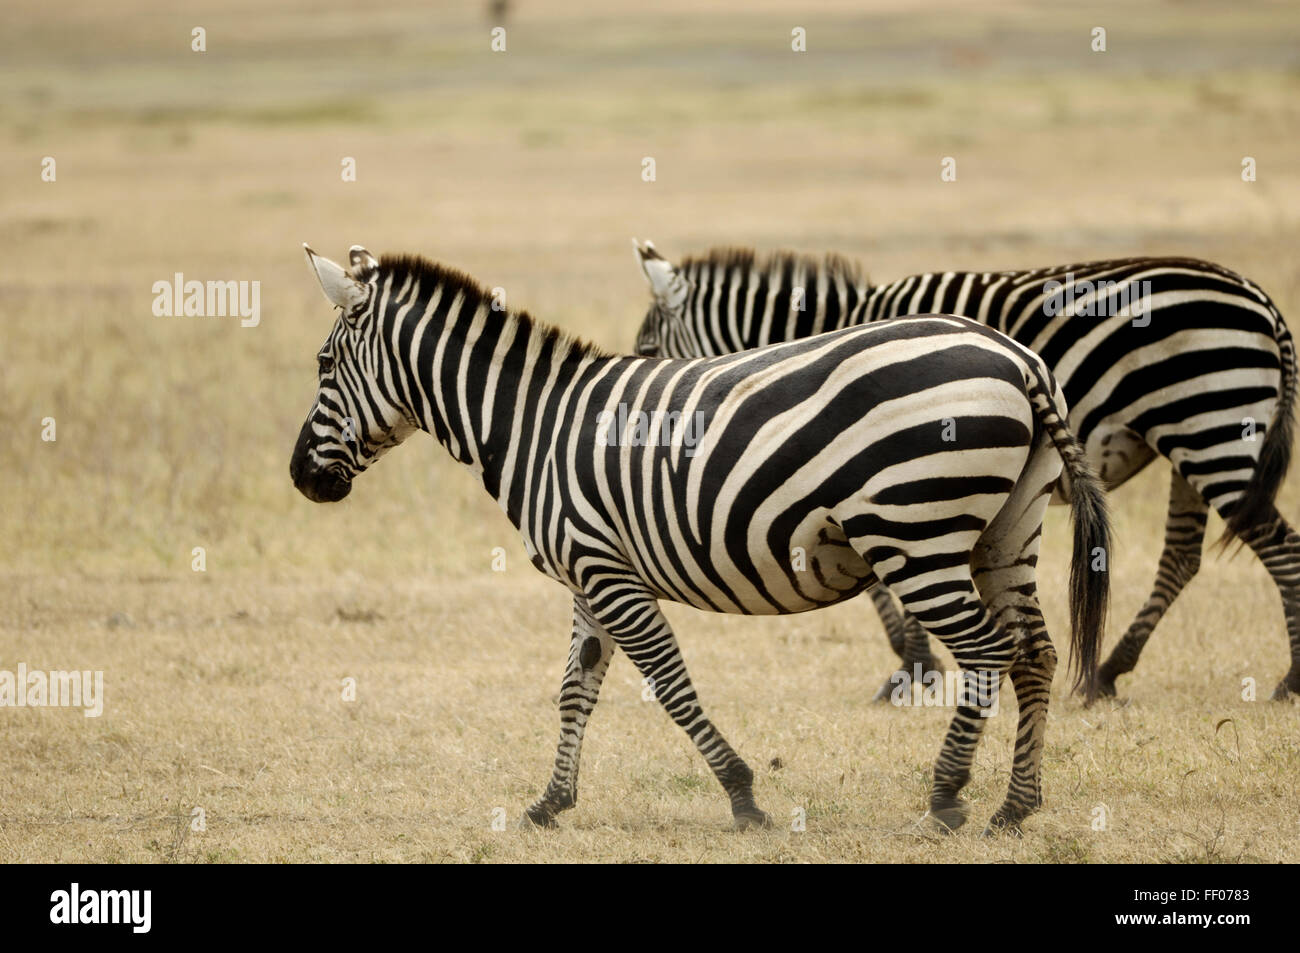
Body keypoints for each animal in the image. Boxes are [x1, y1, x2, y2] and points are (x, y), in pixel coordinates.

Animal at [290, 243, 1111, 835]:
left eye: (324, 364)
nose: (300, 477)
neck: (533, 426)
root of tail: (1020, 358)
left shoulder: (607, 573)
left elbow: (670, 685)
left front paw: (743, 798)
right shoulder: (591, 571)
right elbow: (575, 688)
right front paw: (550, 802)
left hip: (915, 532)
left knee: (987, 651)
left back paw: (945, 799)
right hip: (1007, 530)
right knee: (1035, 652)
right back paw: (1015, 806)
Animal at [633, 241, 1299, 701]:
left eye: (645, 353)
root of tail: (1263, 300)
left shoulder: (872, 470)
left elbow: (877, 580)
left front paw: (913, 665)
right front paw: (915, 662)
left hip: (1209, 427)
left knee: (1274, 543)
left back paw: (1289, 679)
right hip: (1192, 442)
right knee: (1183, 557)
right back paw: (1109, 672)